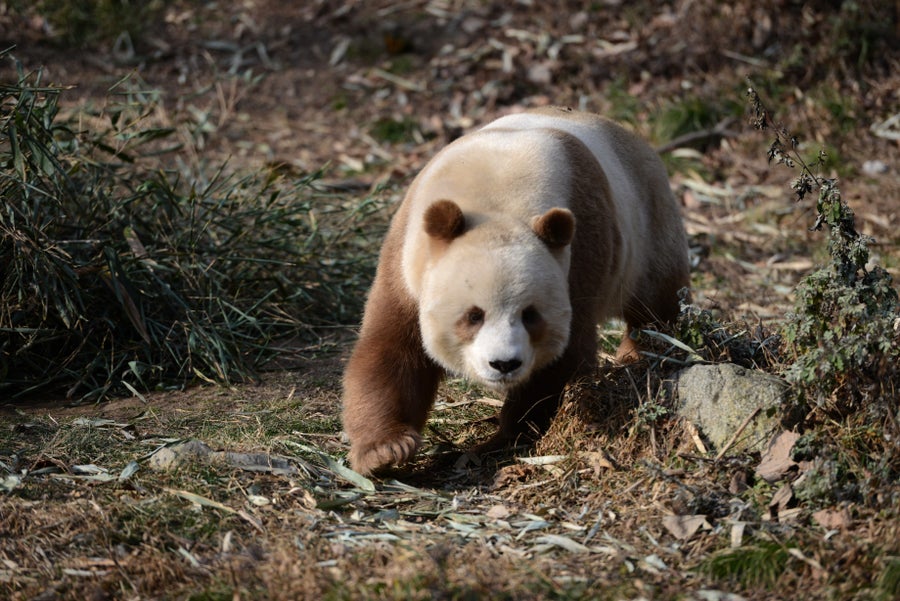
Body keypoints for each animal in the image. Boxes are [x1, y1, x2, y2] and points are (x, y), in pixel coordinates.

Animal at [342, 107, 690, 476]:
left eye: (530, 315)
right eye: (474, 316)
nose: (504, 364)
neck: (497, 200)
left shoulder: (579, 248)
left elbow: (563, 355)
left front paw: (507, 435)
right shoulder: (409, 254)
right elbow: (393, 347)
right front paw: (385, 450)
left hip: (647, 223)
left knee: (656, 305)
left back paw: (642, 355)